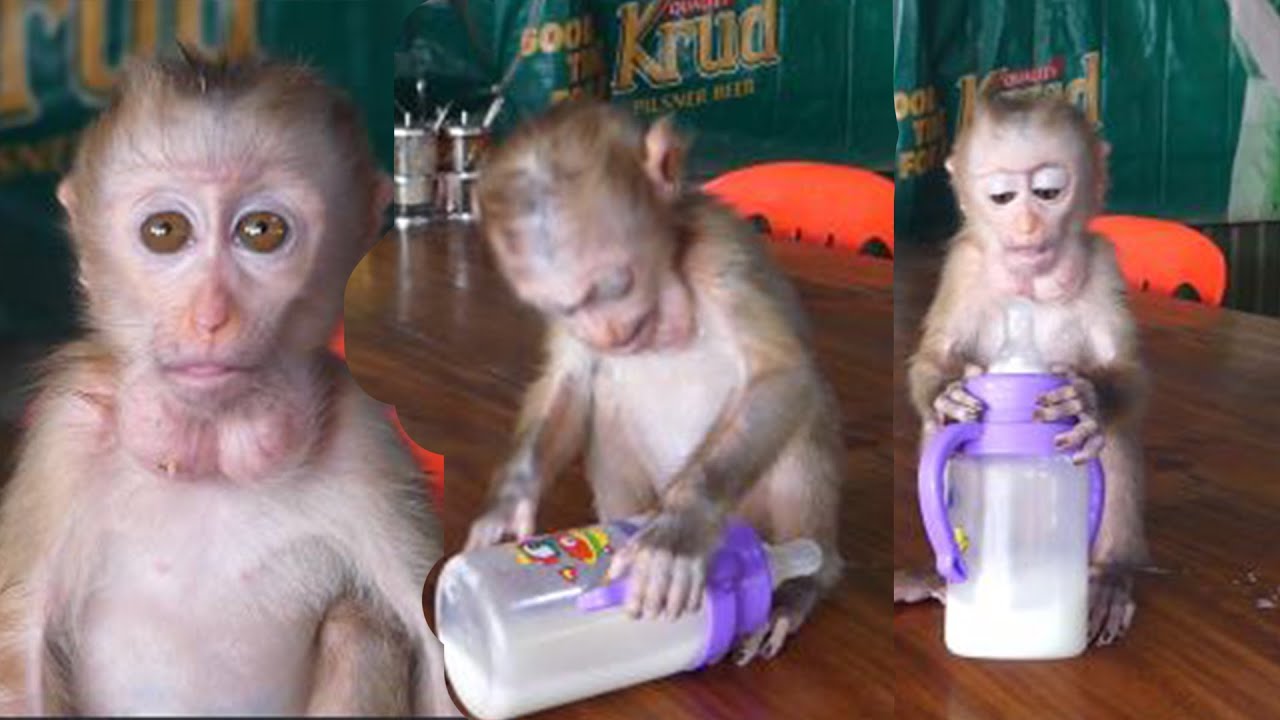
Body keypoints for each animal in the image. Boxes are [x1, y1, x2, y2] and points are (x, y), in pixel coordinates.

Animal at [0, 52, 457, 716]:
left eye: (261, 230)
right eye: (165, 230)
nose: (211, 315)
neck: (211, 456)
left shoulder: (368, 445)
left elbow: (434, 643)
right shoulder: (64, 442)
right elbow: (23, 647)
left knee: (358, 624)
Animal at [462, 100, 845, 665]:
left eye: (614, 287)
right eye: (563, 307)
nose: (607, 332)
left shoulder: (721, 256)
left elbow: (782, 374)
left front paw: (680, 530)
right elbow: (571, 378)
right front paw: (510, 503)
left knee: (804, 425)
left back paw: (798, 588)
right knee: (605, 401)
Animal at [895, 90, 1149, 647]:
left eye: (1048, 192)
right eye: (1003, 198)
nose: (1028, 226)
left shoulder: (1104, 263)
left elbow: (1126, 375)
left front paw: (1084, 399)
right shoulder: (963, 266)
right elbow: (934, 361)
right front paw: (949, 394)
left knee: (1110, 439)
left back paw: (1111, 577)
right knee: (935, 429)